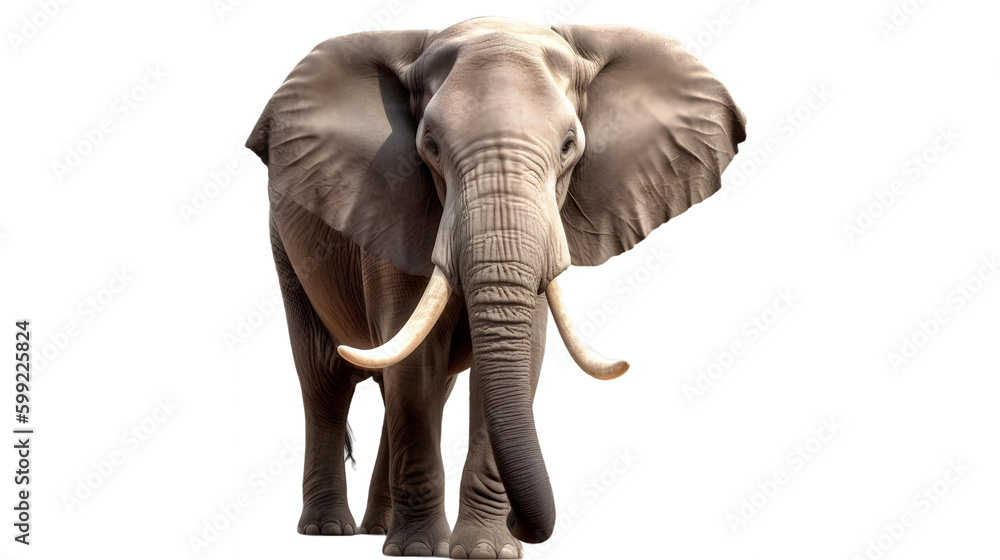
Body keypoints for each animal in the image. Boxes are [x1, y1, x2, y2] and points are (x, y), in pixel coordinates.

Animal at [245, 16, 745, 558]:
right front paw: (421, 550)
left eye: (569, 146)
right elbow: (414, 369)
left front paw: (486, 551)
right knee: (325, 376)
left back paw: (376, 529)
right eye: (430, 147)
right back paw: (327, 530)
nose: (524, 525)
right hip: (285, 246)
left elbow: (511, 359)